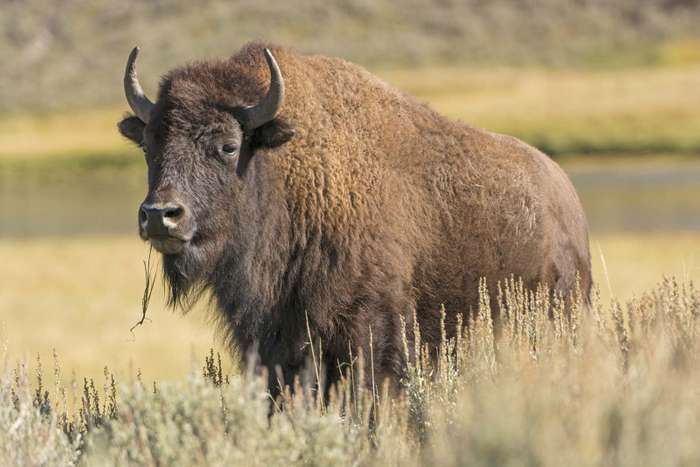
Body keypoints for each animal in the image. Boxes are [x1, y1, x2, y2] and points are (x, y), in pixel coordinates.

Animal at [118, 43, 591, 394]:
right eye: (148, 146)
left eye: (229, 145)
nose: (160, 215)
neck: (289, 171)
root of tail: (567, 198)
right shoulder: (275, 344)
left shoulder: (368, 333)